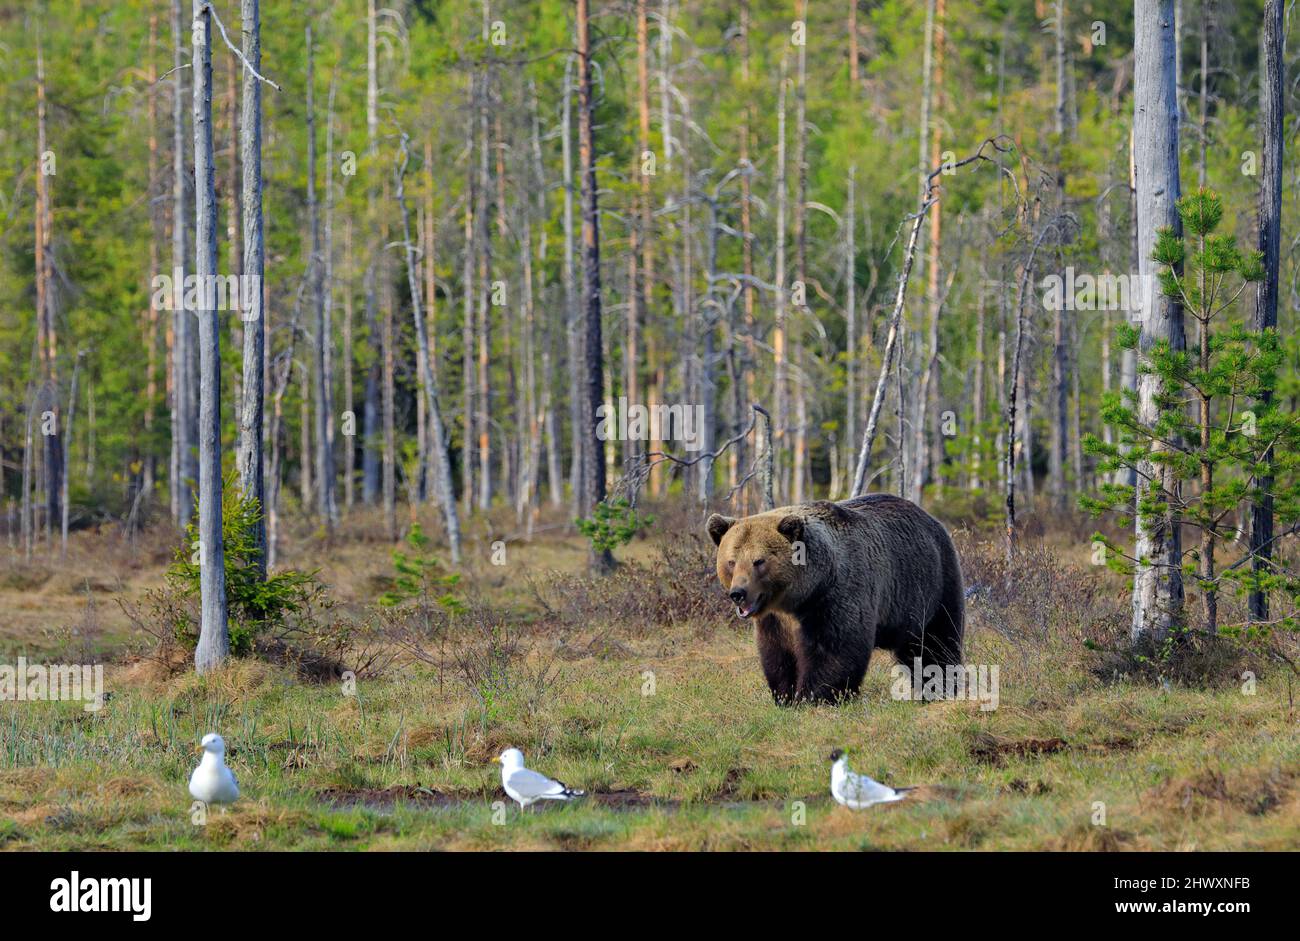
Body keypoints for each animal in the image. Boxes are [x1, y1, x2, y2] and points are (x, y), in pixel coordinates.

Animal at [707, 493, 964, 705]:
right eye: (731, 561)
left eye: (758, 561)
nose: (738, 593)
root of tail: (931, 519)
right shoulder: (775, 620)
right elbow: (778, 654)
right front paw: (785, 696)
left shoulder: (835, 597)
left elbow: (834, 650)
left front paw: (814, 697)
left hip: (932, 586)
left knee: (935, 643)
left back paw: (940, 688)